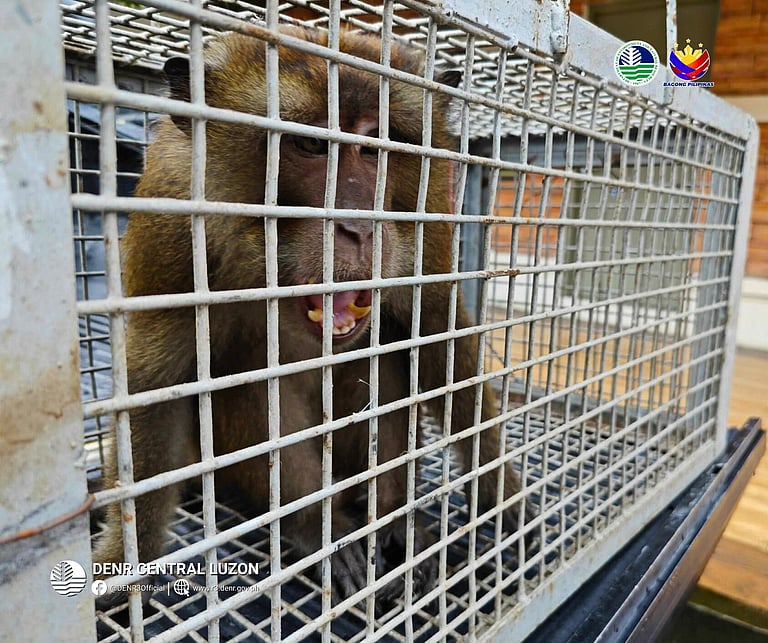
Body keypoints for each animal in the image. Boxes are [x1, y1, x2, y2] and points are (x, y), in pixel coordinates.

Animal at [93, 26, 531, 610]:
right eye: (312, 145)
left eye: (376, 145)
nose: (361, 226)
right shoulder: (174, 228)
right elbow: (157, 390)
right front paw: (117, 581)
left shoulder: (429, 218)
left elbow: (440, 337)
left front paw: (501, 496)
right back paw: (315, 529)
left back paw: (391, 518)